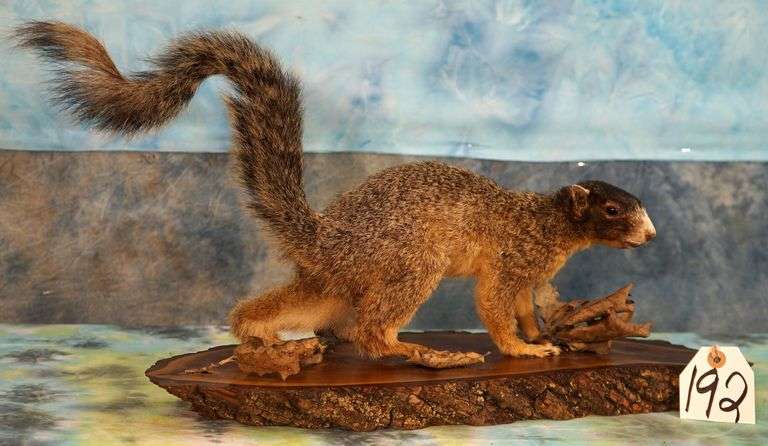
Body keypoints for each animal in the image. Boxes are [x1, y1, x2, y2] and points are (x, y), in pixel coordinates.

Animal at [15, 22, 656, 366]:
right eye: (613, 208)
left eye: (637, 204)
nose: (650, 234)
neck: (550, 225)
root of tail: (326, 239)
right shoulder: (509, 261)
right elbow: (496, 306)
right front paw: (521, 350)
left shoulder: (531, 272)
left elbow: (527, 305)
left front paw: (545, 335)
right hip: (408, 263)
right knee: (371, 333)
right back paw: (420, 352)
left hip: (331, 288)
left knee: (302, 316)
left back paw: (259, 337)